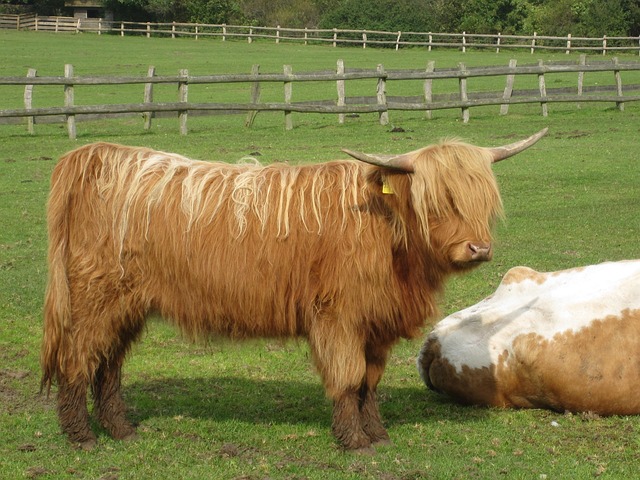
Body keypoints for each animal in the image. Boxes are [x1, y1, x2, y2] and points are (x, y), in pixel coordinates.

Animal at [41, 128, 547, 452]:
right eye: (439, 200)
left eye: (483, 199)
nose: (478, 247)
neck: (389, 236)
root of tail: (96, 155)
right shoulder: (338, 316)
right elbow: (348, 377)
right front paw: (355, 442)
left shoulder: (375, 322)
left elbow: (370, 381)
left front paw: (377, 434)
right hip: (94, 299)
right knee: (78, 360)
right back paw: (82, 436)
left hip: (126, 305)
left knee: (108, 365)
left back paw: (120, 429)